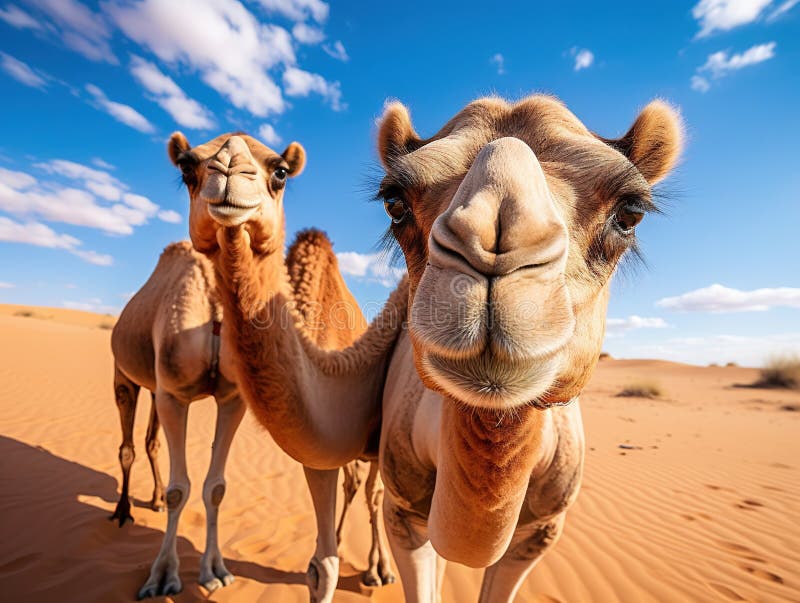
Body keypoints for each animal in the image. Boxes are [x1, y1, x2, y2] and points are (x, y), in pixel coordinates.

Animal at [165, 131, 404, 601]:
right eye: (186, 167)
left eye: (279, 172)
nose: (228, 170)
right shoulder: (317, 446)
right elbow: (321, 560)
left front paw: (374, 568)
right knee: (353, 484)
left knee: (373, 492)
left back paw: (377, 570)